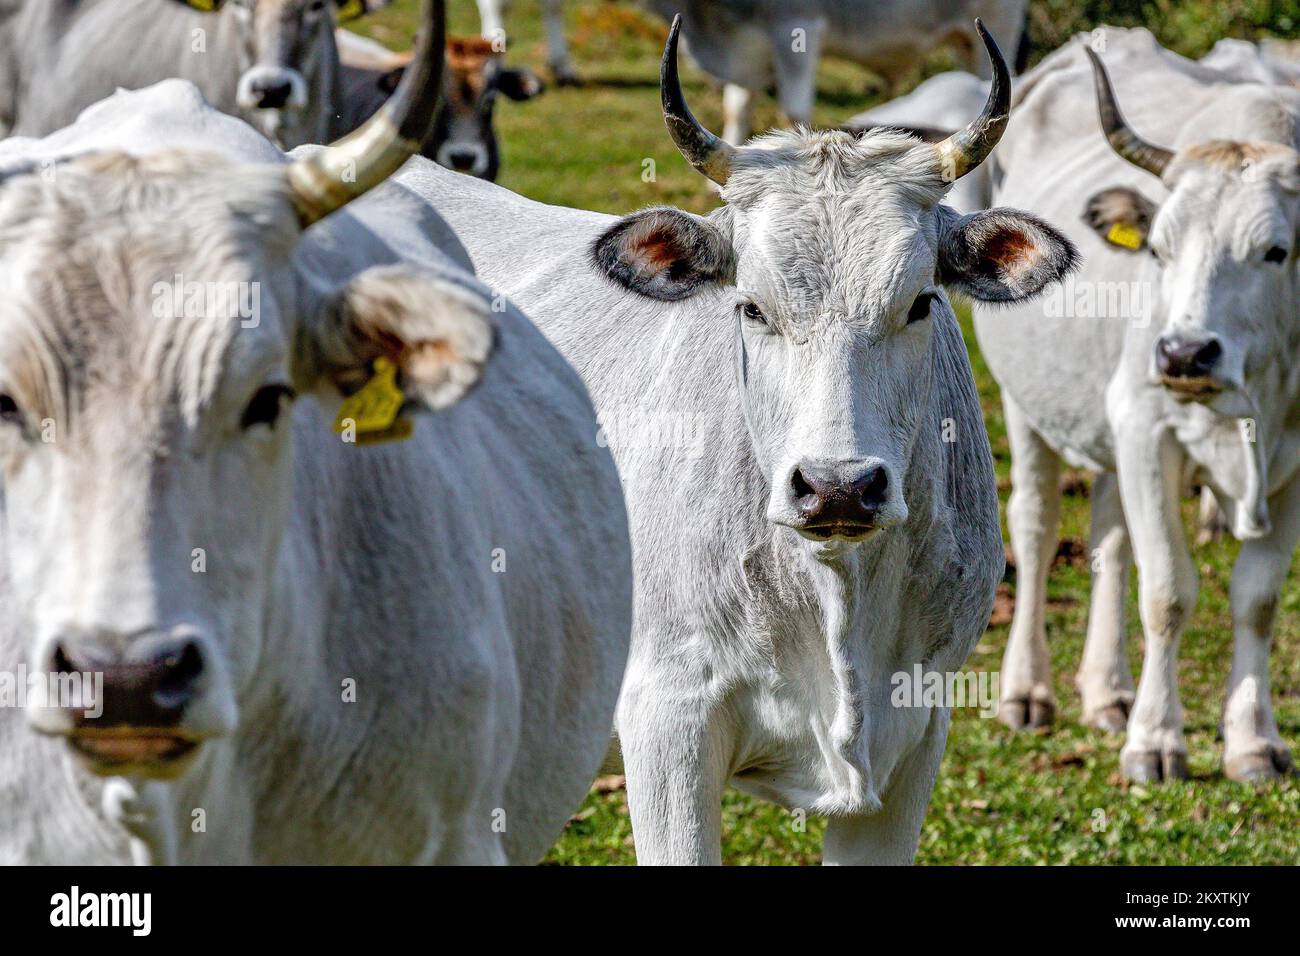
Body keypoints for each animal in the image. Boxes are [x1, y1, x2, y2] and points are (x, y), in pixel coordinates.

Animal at [972, 26, 1300, 783]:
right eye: (1157, 248)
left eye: (1276, 251)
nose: (1182, 354)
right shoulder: (1148, 425)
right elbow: (1169, 592)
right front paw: (1155, 741)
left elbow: (1257, 598)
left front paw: (1253, 741)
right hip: (1027, 403)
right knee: (1036, 527)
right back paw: (1028, 691)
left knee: (1110, 541)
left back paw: (1108, 691)